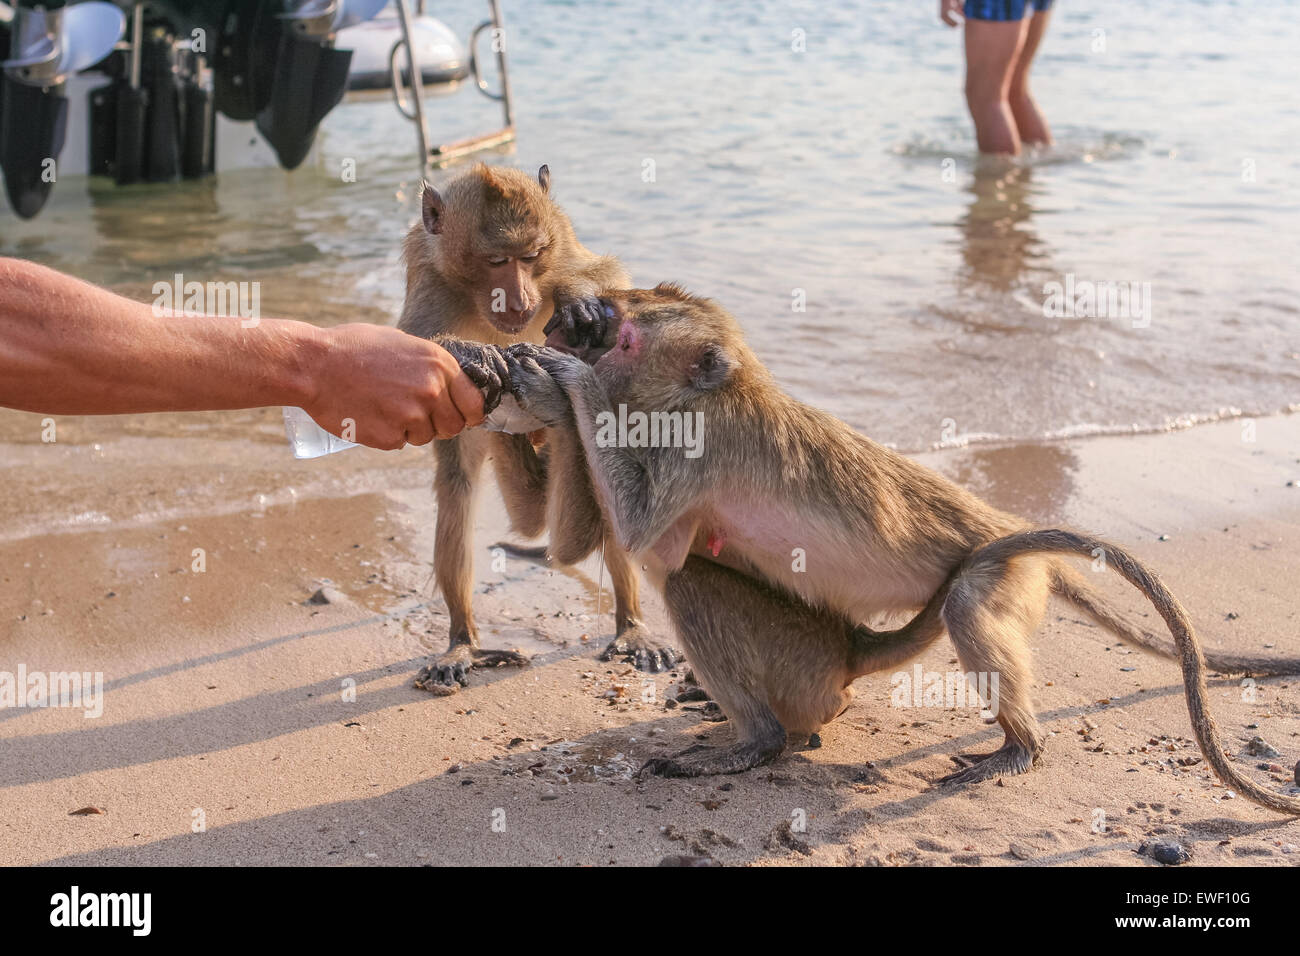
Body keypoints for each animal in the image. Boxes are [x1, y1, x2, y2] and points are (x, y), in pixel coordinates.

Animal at [396, 164, 678, 692]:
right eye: (496, 261)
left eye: (530, 257)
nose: (521, 297)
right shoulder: (431, 277)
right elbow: (401, 348)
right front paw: (470, 353)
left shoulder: (561, 242)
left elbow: (607, 277)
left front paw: (578, 301)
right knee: (461, 490)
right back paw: (463, 641)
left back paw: (631, 625)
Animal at [498, 284, 1300, 815]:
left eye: (627, 335)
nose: (585, 321)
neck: (710, 395)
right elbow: (594, 543)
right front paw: (544, 390)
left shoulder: (695, 450)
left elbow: (642, 536)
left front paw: (567, 381)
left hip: (996, 579)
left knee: (959, 605)